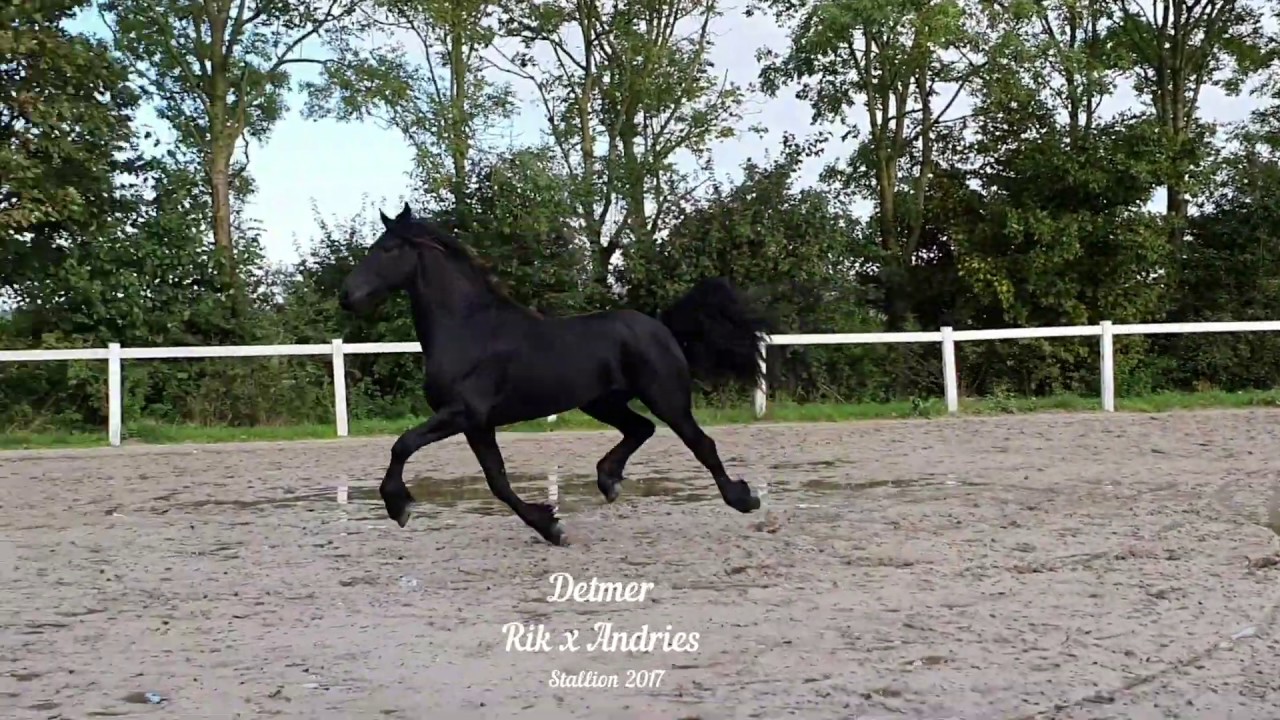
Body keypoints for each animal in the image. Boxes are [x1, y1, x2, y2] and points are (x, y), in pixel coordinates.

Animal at [337, 202, 770, 546]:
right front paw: (550, 527)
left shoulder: (463, 413)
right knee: (640, 429)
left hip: (666, 397)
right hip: (602, 403)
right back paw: (608, 481)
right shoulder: (477, 424)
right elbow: (498, 482)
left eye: (388, 249)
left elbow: (402, 444)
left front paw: (398, 506)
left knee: (701, 443)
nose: (346, 296)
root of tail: (661, 327)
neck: (468, 329)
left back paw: (743, 499)